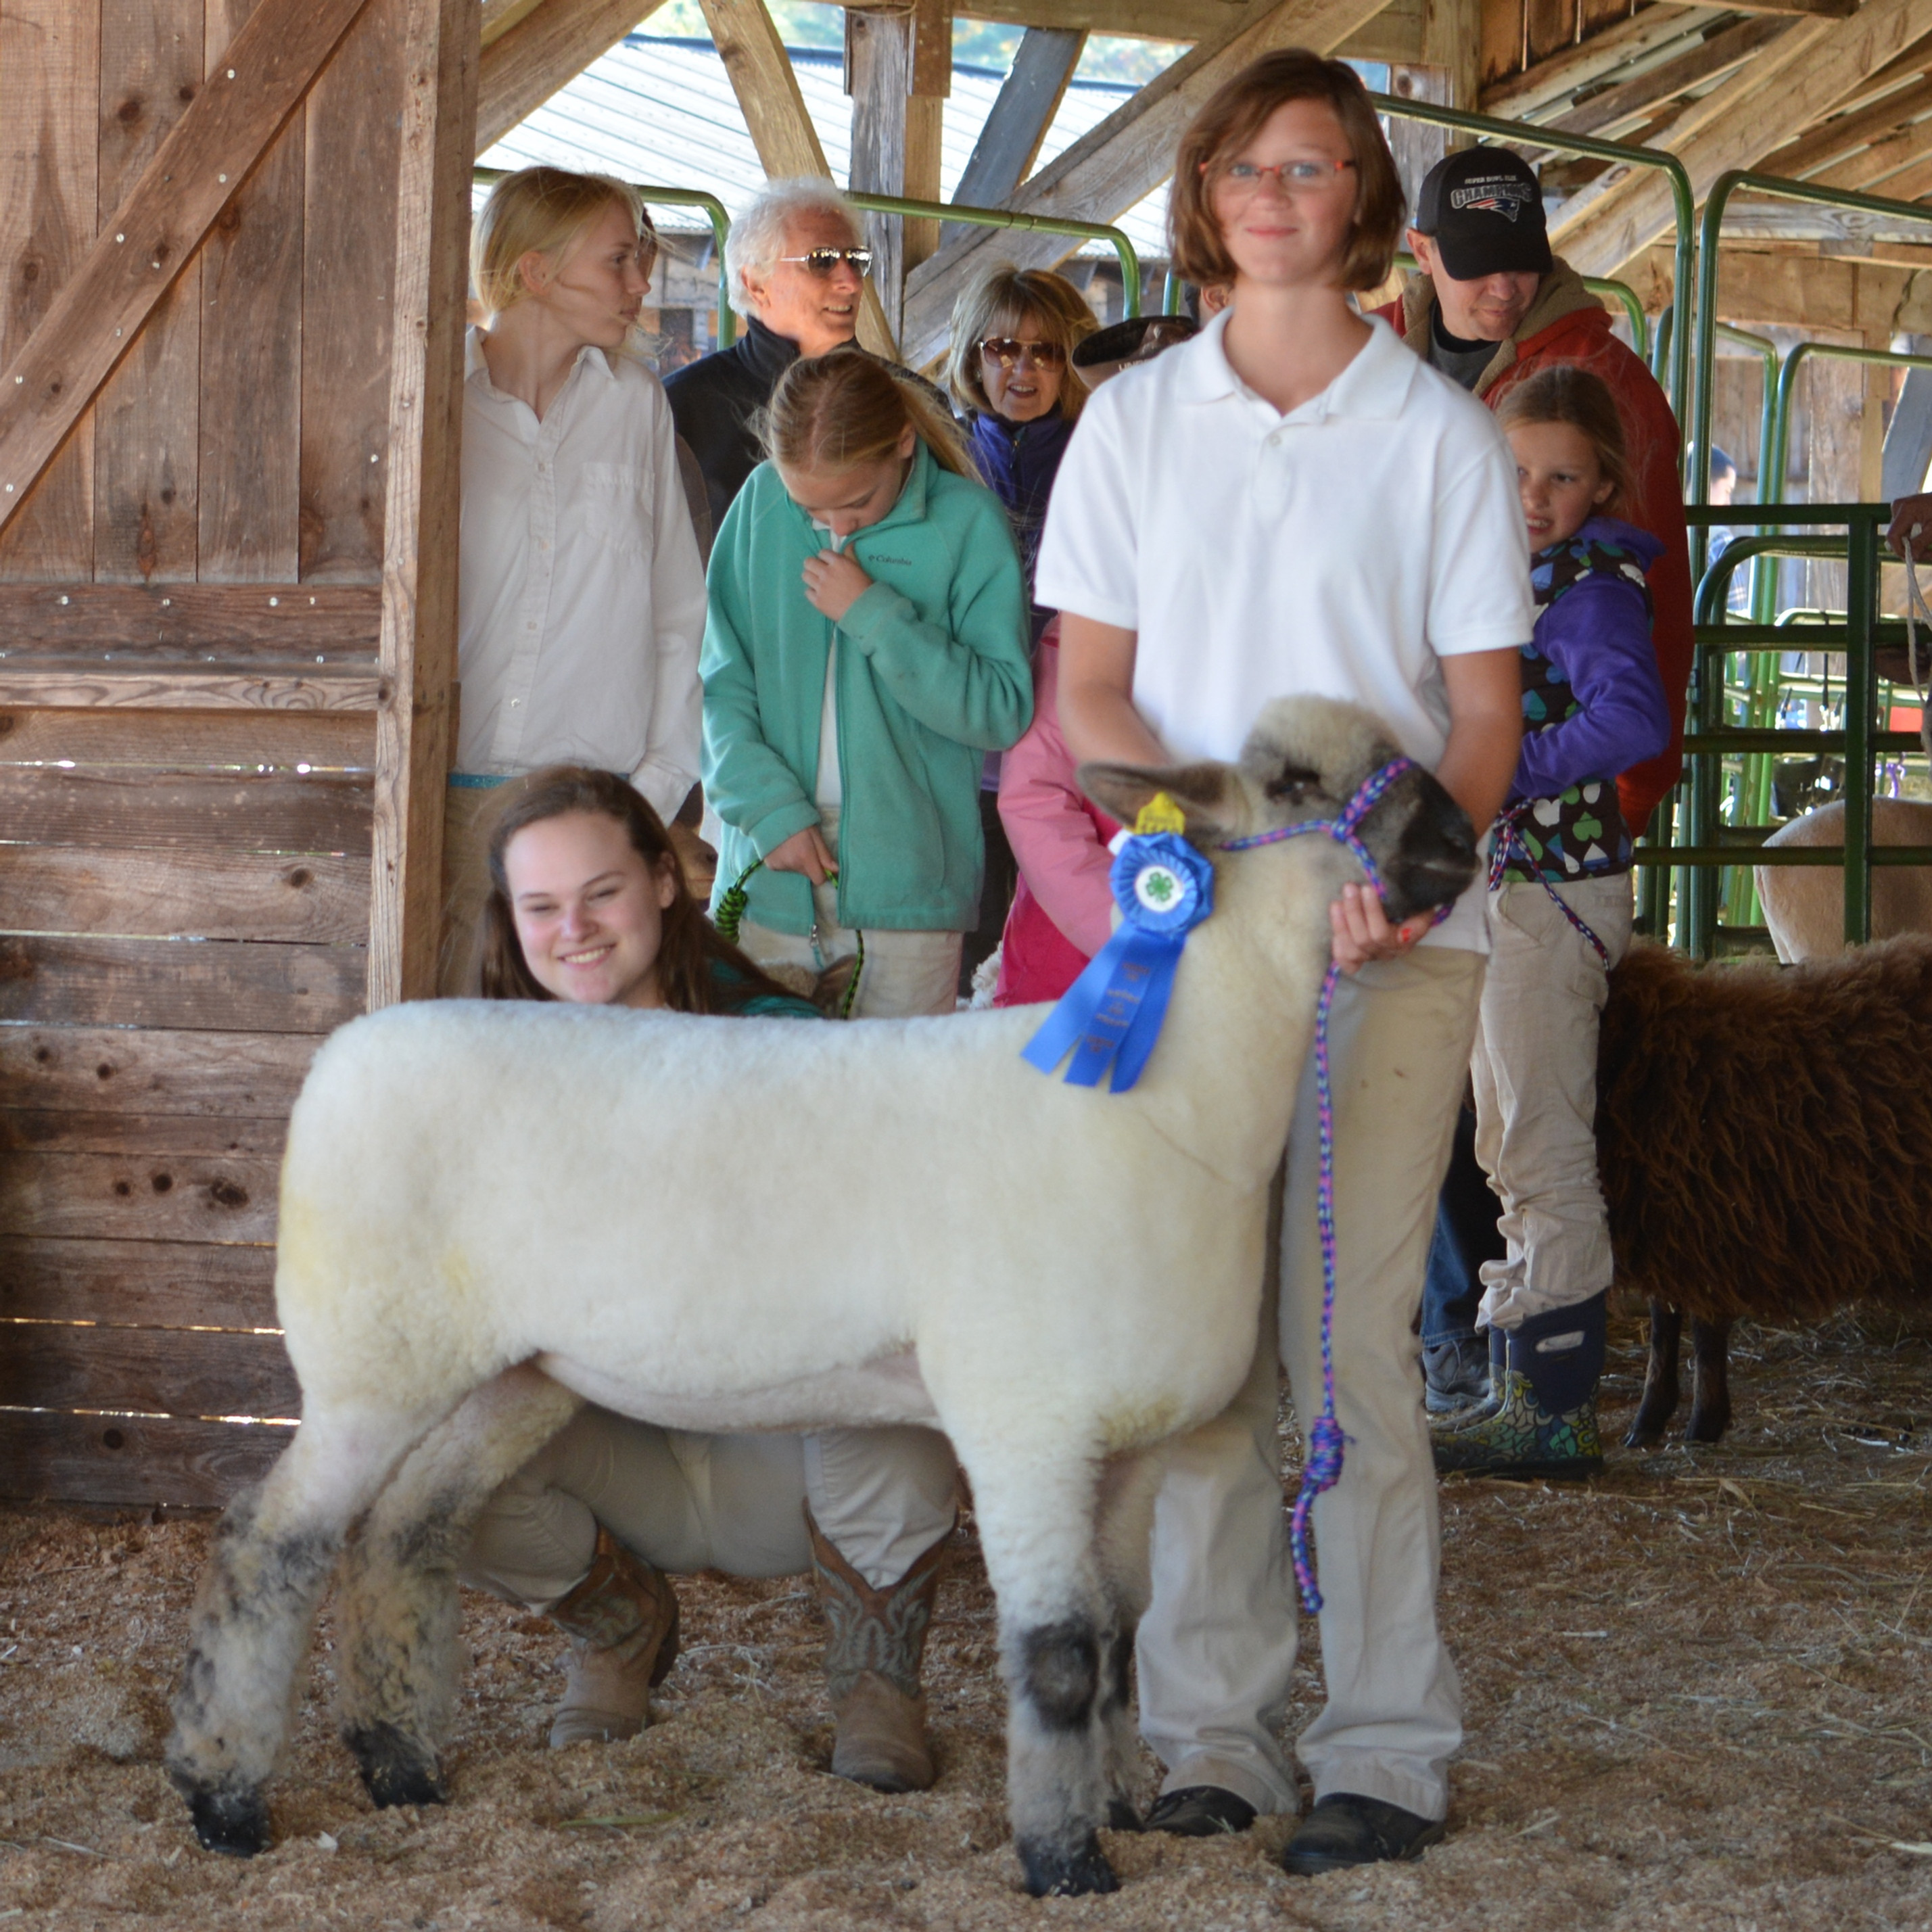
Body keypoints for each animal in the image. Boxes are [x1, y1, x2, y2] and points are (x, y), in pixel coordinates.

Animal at [163, 695, 1479, 1899]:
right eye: (1299, 779)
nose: (1468, 839)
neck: (1171, 1107)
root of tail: (339, 1060)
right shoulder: (1024, 1420)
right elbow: (1057, 1655)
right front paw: (1062, 1860)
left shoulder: (1128, 1448)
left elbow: (1110, 1645)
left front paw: (1109, 1807)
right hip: (365, 1359)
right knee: (272, 1541)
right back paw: (224, 1796)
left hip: (515, 1371)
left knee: (405, 1529)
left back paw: (399, 1766)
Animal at [1595, 935, 1932, 1447]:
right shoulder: (1673, 1218)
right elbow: (1662, 1324)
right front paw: (1652, 1420)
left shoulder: (1707, 1221)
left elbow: (1702, 1330)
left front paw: (1701, 1424)